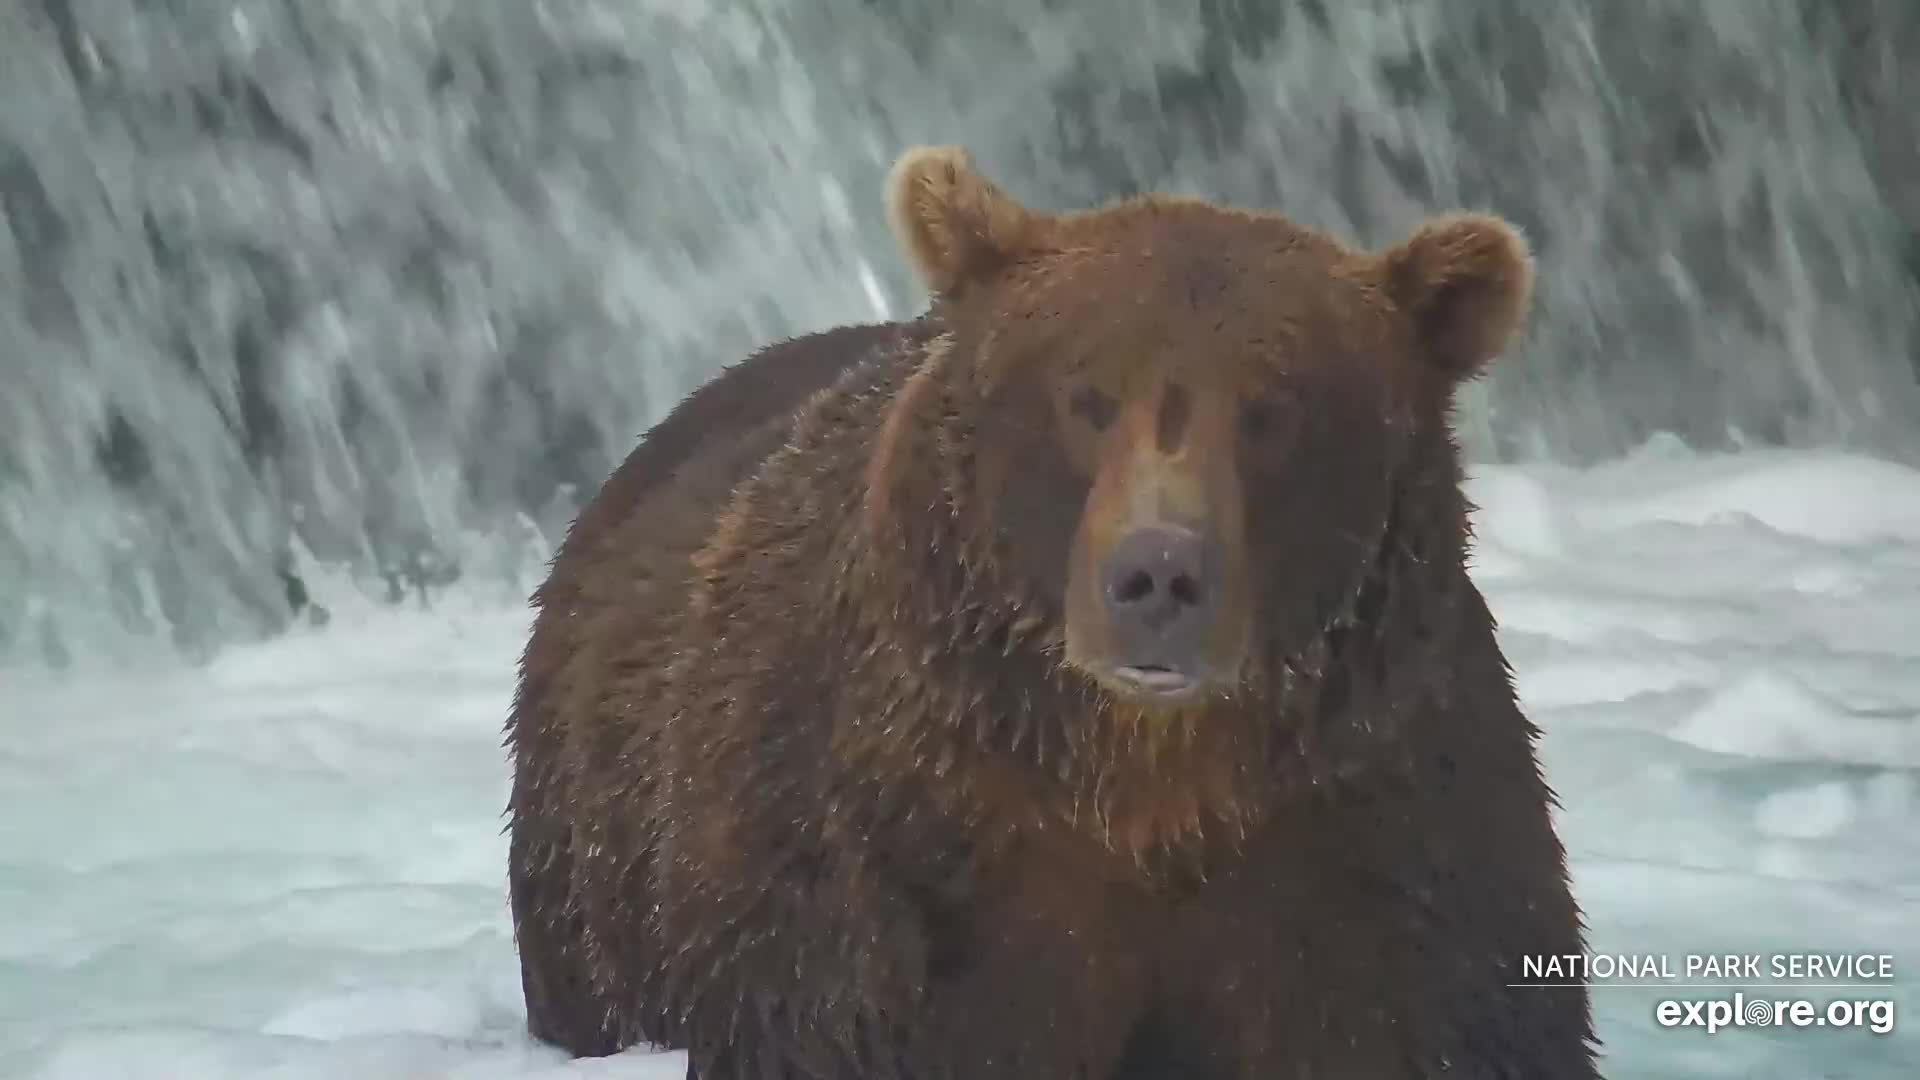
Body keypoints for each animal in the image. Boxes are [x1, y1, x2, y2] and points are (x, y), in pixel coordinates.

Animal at [505, 145, 1599, 1079]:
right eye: (1087, 396)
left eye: (1272, 408)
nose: (1157, 576)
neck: (1142, 779)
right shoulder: (886, 853)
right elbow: (845, 1015)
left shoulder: (1374, 828)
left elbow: (1438, 1012)